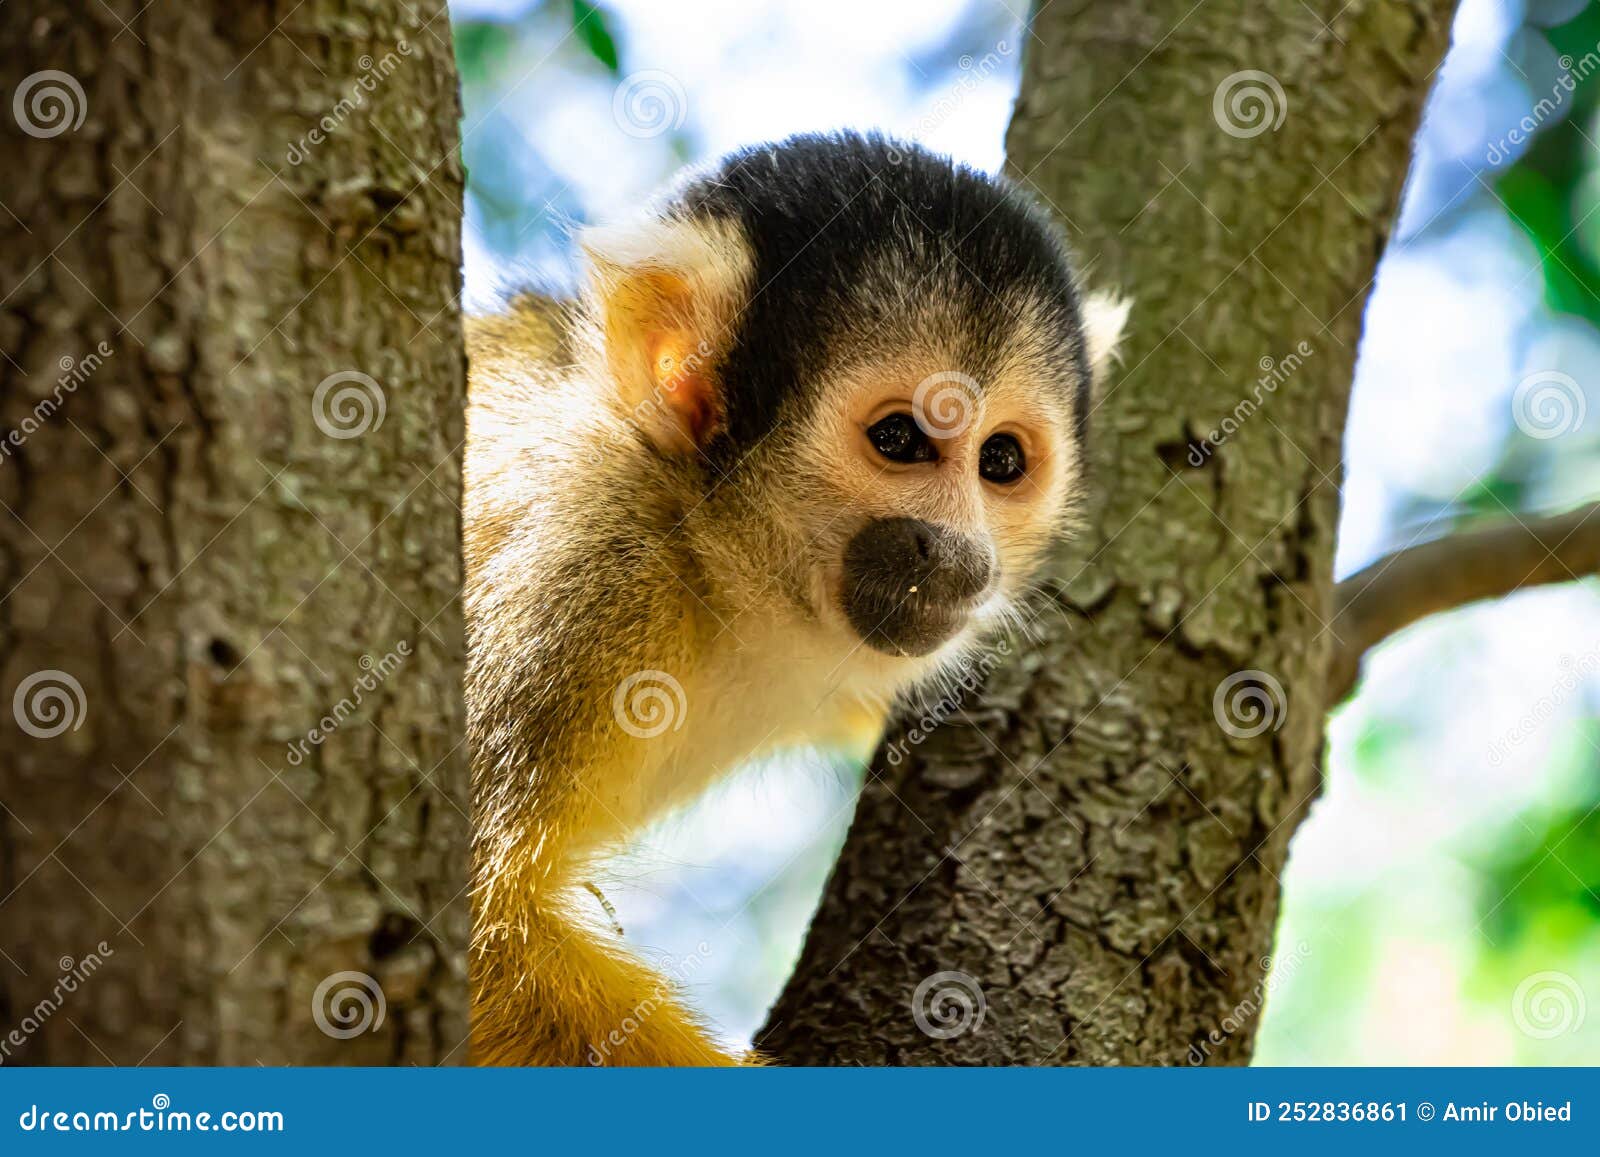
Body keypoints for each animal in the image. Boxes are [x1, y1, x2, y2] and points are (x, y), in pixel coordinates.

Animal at [463, 132, 1128, 1066]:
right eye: (900, 438)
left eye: (1001, 460)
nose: (960, 556)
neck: (709, 562)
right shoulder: (578, 565)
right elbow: (471, 911)